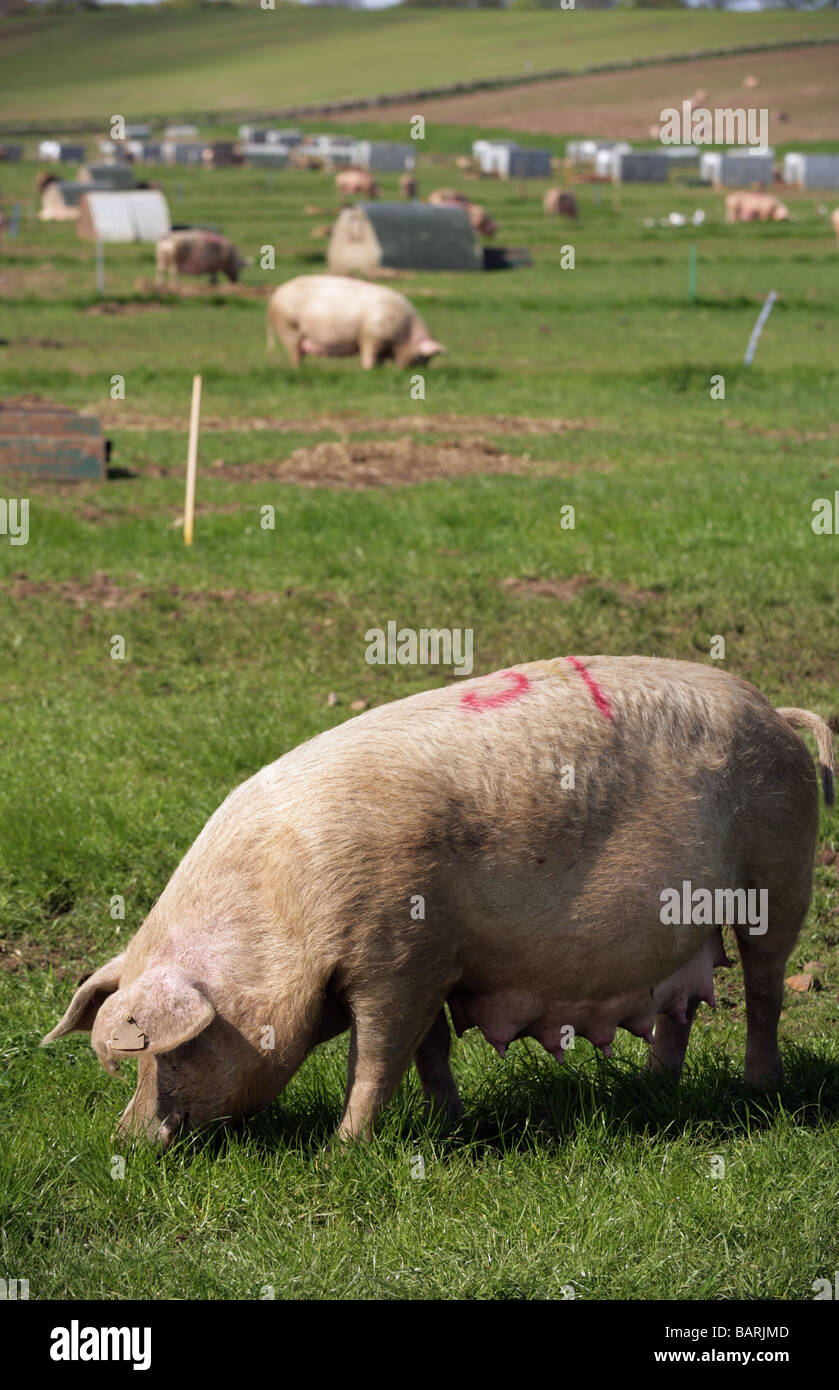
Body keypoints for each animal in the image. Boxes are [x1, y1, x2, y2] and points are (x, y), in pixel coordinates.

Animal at [42, 656, 834, 1148]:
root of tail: (775, 710)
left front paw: (341, 1149)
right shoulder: (431, 960)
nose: (126, 1140)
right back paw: (653, 1089)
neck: (285, 916)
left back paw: (758, 1088)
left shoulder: (395, 956)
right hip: (689, 927)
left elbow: (376, 1057)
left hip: (778, 873)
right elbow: (429, 1052)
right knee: (681, 1003)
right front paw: (449, 1124)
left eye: (173, 1050)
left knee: (764, 988)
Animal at [266, 274, 445, 369]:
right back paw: (299, 368)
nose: (422, 371)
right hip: (289, 327)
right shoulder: (371, 336)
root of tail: (274, 297)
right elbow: (369, 356)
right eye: (424, 358)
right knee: (295, 352)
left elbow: (378, 360)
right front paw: (368, 370)